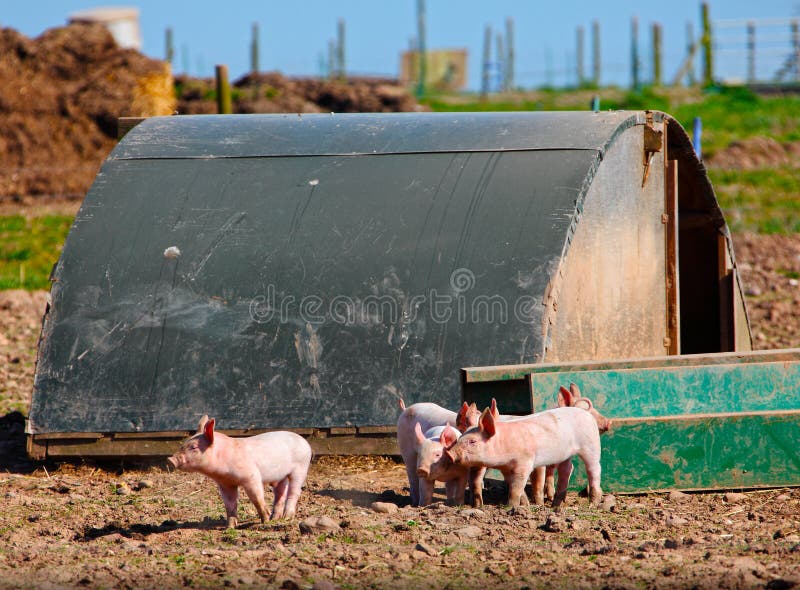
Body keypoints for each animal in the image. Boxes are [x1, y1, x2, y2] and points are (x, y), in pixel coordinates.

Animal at [167, 415, 312, 528]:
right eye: (183, 444)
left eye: (193, 447)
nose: (170, 459)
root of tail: (304, 441)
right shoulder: (225, 484)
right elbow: (230, 504)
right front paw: (229, 527)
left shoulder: (252, 476)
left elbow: (256, 498)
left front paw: (264, 522)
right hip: (280, 476)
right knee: (280, 493)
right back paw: (275, 518)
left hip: (301, 467)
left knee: (294, 492)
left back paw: (286, 518)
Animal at [446, 406, 602, 509]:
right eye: (459, 438)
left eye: (472, 441)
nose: (449, 453)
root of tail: (586, 413)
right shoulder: (505, 468)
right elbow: (514, 485)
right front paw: (525, 505)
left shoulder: (524, 462)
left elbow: (517, 486)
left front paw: (510, 507)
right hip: (565, 454)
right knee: (567, 469)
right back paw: (555, 506)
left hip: (590, 444)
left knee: (594, 468)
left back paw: (593, 503)